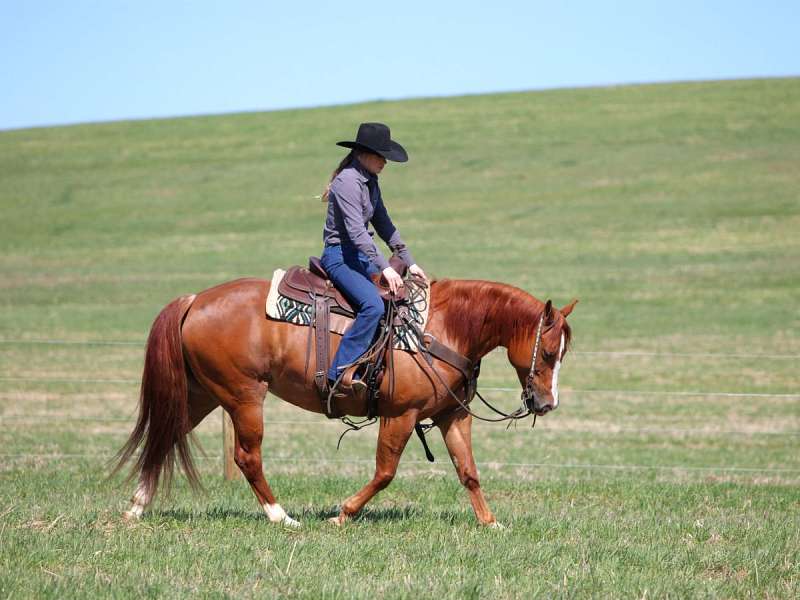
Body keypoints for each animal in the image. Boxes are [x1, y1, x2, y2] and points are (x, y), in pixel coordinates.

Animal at [113, 276, 576, 527]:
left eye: (562, 355)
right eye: (548, 354)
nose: (546, 403)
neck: (443, 328)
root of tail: (194, 301)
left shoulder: (451, 417)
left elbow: (469, 473)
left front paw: (491, 523)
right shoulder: (399, 415)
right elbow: (385, 472)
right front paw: (343, 514)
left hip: (201, 395)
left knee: (163, 438)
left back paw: (137, 507)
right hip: (244, 396)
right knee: (247, 457)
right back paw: (282, 517)